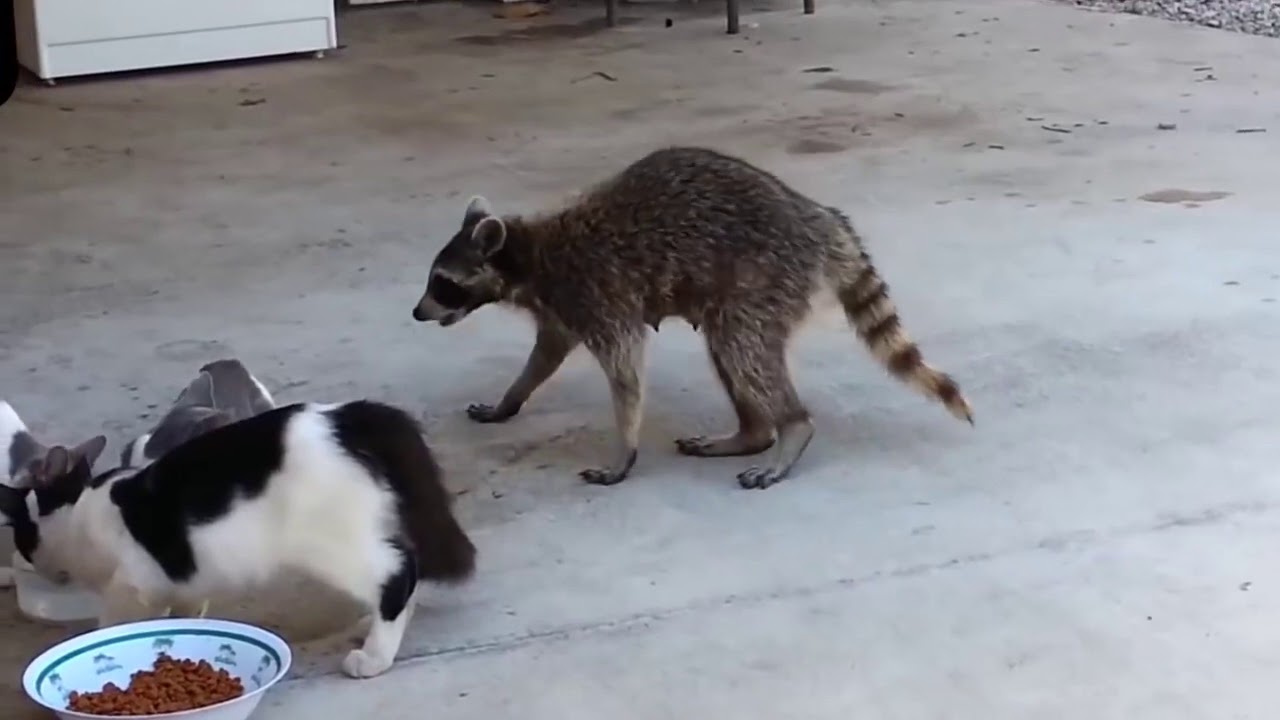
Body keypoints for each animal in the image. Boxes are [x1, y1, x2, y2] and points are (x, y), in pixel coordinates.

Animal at [411, 146, 973, 489]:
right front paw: (510, 399)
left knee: (743, 348)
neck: (529, 255)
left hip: (764, 276)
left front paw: (625, 449)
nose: (417, 312)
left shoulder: (595, 292)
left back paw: (790, 427)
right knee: (731, 353)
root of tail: (816, 217)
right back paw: (752, 432)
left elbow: (625, 369)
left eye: (442, 283)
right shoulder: (561, 307)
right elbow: (546, 354)